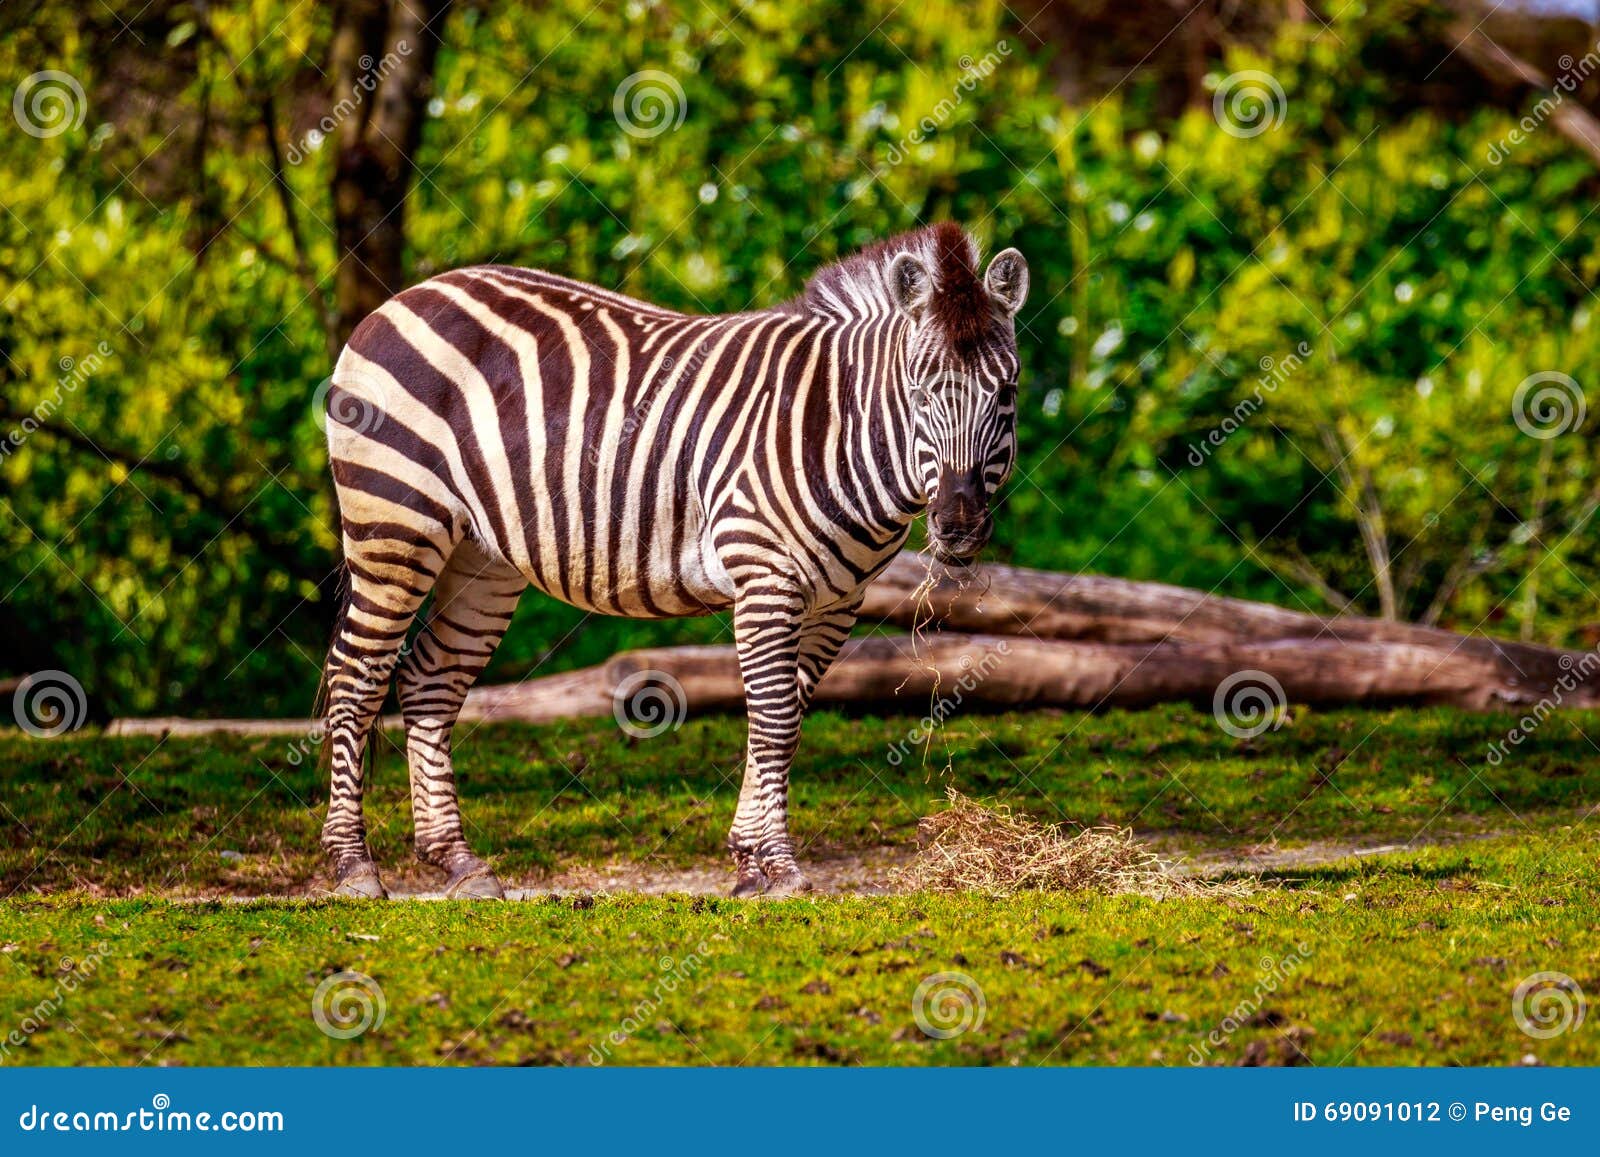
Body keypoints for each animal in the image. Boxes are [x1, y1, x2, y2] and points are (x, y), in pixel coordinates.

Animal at [317, 222, 1029, 899]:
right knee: (356, 678)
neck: (840, 427)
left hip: (481, 559)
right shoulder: (764, 575)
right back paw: (354, 868)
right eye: (920, 392)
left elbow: (789, 719)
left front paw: (748, 861)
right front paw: (780, 868)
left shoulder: (837, 602)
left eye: (1007, 394)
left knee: (429, 683)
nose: (958, 526)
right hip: (396, 525)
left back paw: (460, 865)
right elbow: (773, 719)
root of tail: (402, 299)